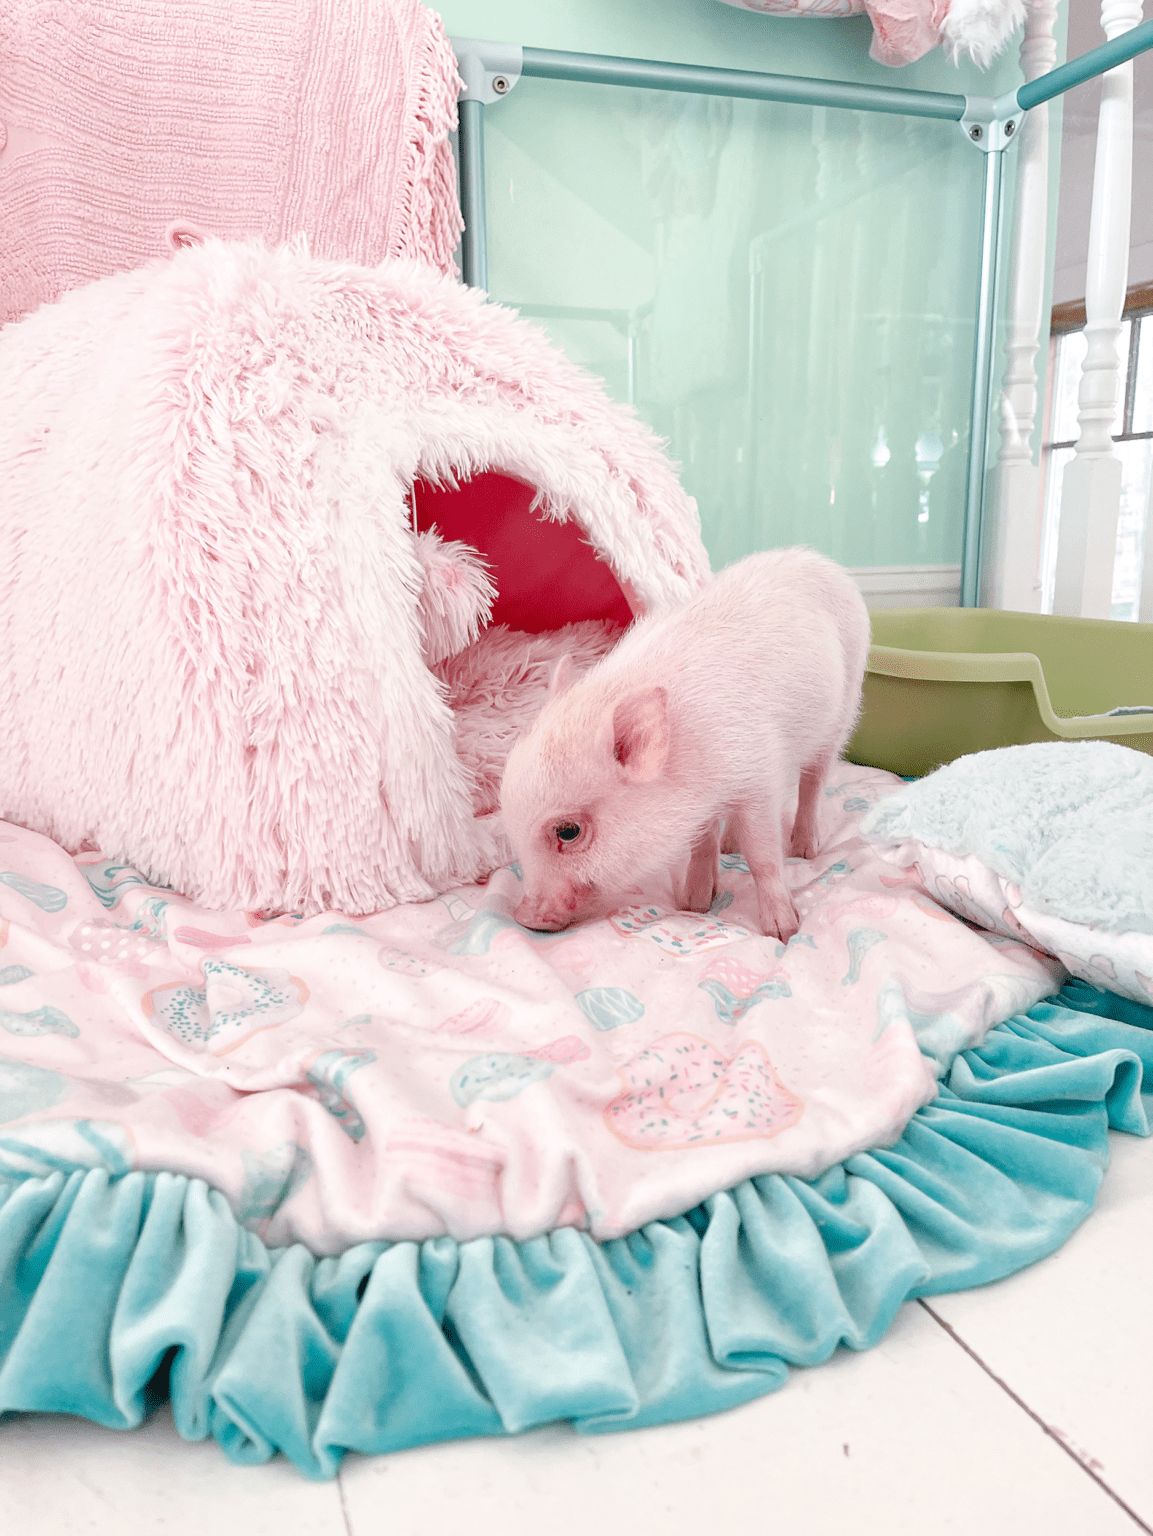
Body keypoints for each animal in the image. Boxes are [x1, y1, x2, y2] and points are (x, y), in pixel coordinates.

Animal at [498, 546, 870, 940]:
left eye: (568, 832)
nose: (524, 917)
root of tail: (820, 559)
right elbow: (702, 844)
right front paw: (694, 906)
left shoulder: (758, 779)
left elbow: (763, 856)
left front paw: (783, 932)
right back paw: (731, 847)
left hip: (845, 707)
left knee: (814, 781)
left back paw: (805, 851)